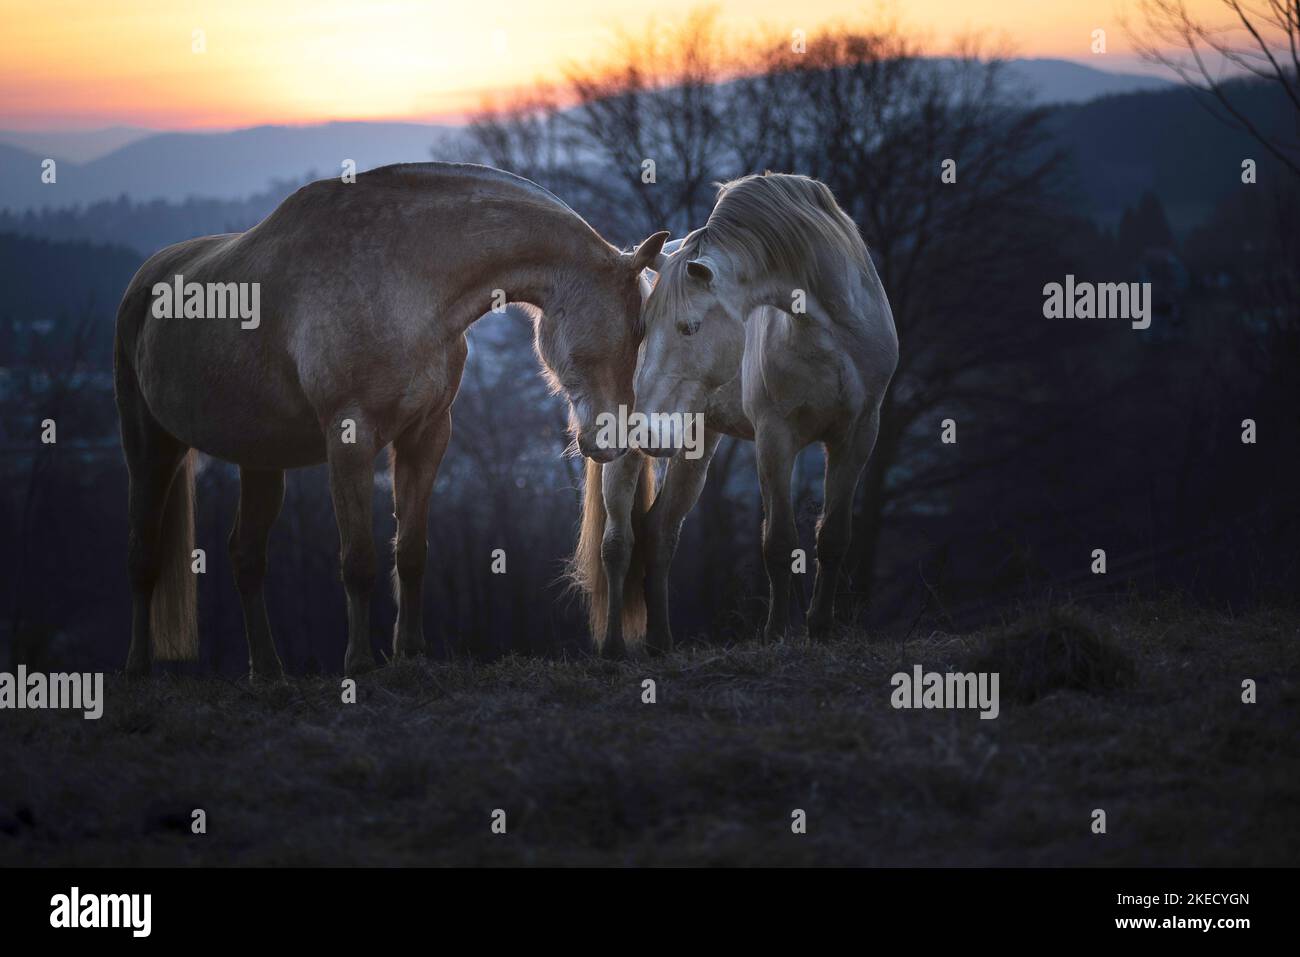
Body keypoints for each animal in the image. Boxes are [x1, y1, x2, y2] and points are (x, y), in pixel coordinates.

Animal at [114, 162, 667, 677]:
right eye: (634, 329)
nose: (613, 439)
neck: (406, 278)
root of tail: (145, 280)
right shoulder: (350, 439)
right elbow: (358, 559)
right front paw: (359, 662)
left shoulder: (426, 437)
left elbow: (412, 551)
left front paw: (411, 652)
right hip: (150, 446)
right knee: (143, 553)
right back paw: (138, 666)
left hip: (261, 460)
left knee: (246, 555)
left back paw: (267, 670)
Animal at [572, 172, 897, 655]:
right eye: (644, 328)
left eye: (689, 327)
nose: (646, 429)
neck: (828, 329)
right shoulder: (774, 438)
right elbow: (778, 541)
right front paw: (776, 632)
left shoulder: (858, 434)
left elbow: (834, 536)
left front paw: (820, 627)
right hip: (627, 457)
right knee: (617, 544)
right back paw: (613, 648)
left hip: (697, 443)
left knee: (660, 531)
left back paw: (660, 642)